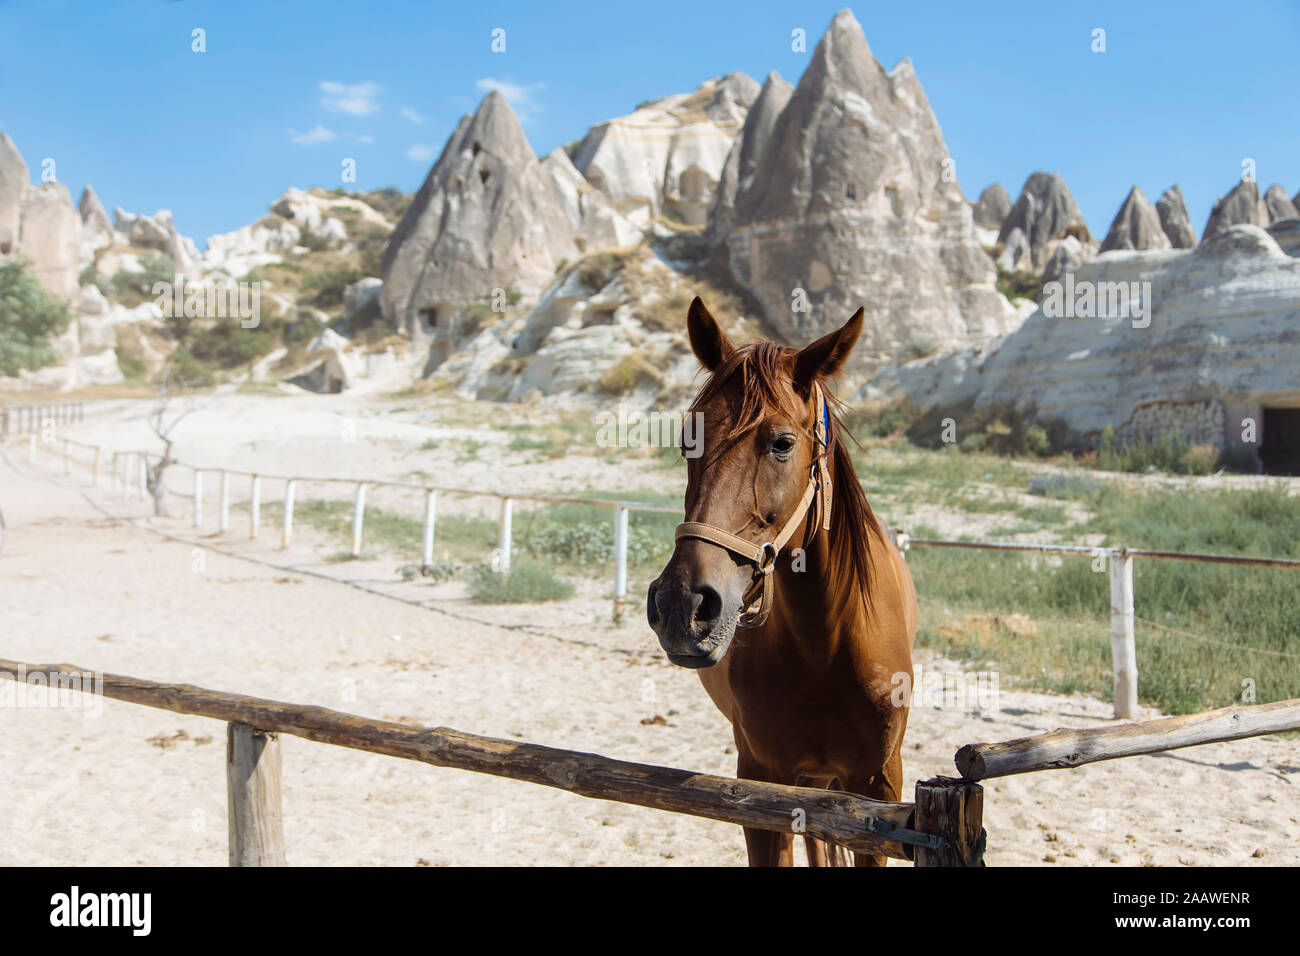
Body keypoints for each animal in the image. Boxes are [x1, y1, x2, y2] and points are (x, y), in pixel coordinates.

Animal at [647, 297, 917, 867]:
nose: (682, 604)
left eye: (783, 443)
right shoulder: (760, 783)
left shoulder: (880, 786)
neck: (825, 643)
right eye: (686, 441)